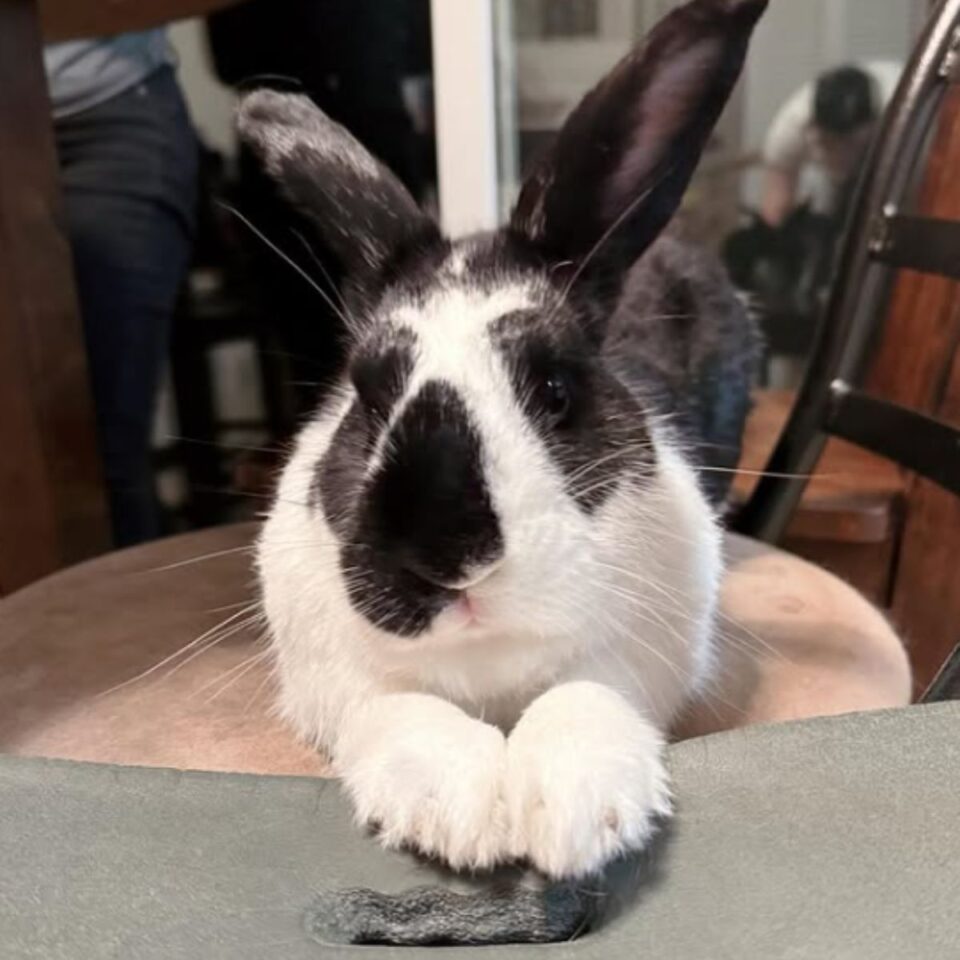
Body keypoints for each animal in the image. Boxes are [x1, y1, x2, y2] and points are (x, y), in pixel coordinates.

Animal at [238, 0, 768, 882]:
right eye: (368, 395)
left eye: (556, 390)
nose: (444, 554)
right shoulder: (334, 678)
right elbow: (398, 708)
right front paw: (452, 808)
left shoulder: (646, 652)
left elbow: (586, 694)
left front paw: (579, 811)